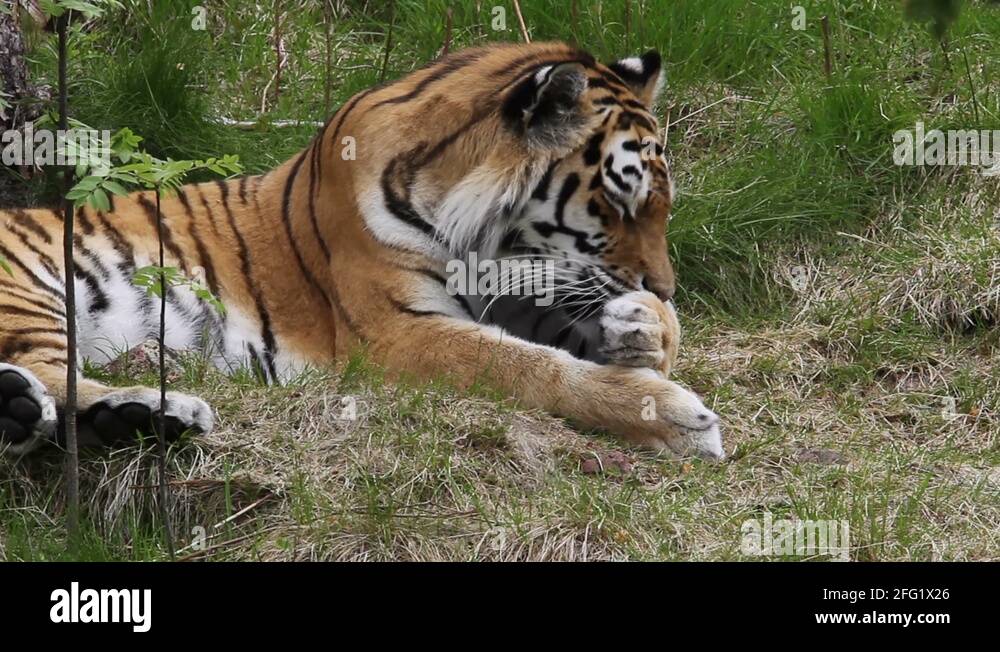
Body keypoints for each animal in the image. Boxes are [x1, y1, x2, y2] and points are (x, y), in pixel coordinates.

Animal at [0, 41, 723, 460]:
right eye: (616, 205)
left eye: (662, 208)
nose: (664, 287)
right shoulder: (397, 331)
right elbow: (530, 367)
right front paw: (673, 415)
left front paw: (640, 327)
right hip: (30, 287)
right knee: (49, 369)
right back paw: (140, 409)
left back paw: (105, 416)